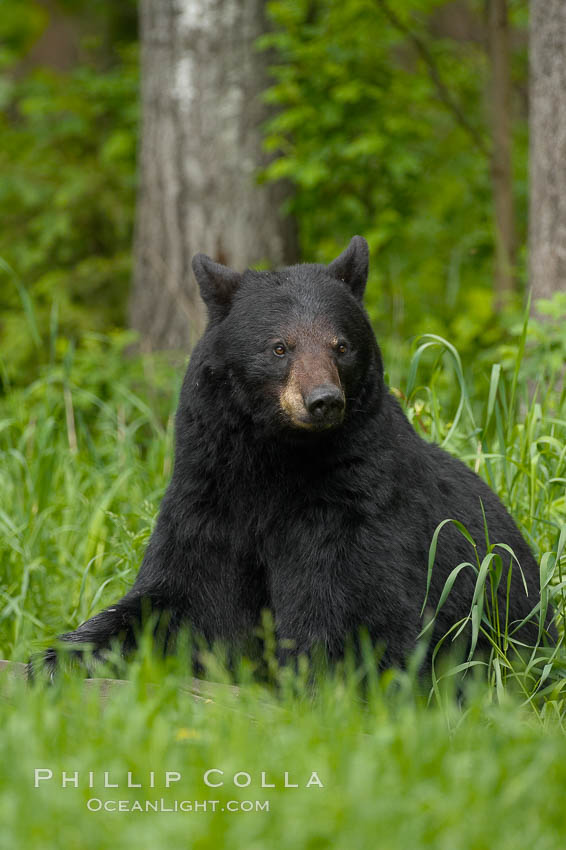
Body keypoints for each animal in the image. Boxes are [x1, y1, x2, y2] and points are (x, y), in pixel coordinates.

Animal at [31, 235, 554, 678]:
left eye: (341, 345)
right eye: (279, 346)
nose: (323, 400)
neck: (274, 461)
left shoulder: (351, 508)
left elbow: (349, 610)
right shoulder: (209, 499)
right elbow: (174, 596)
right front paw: (58, 658)